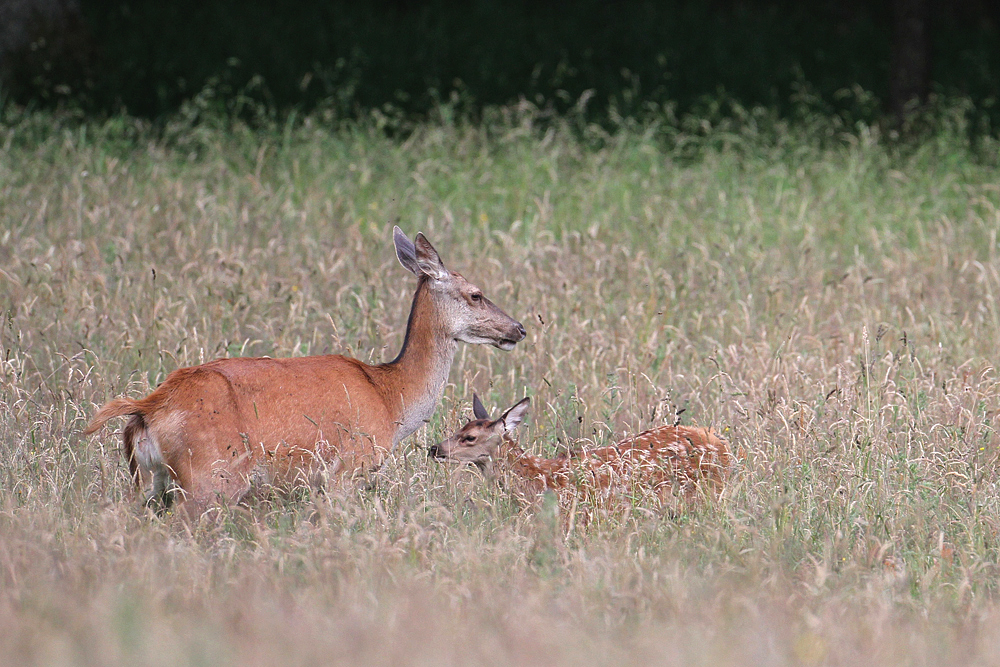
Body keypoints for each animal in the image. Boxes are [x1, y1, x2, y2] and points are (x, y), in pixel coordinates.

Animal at [84, 227, 532, 516]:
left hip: (149, 483)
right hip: (210, 477)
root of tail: (148, 409)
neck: (391, 399)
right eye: (475, 294)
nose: (518, 328)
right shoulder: (348, 469)